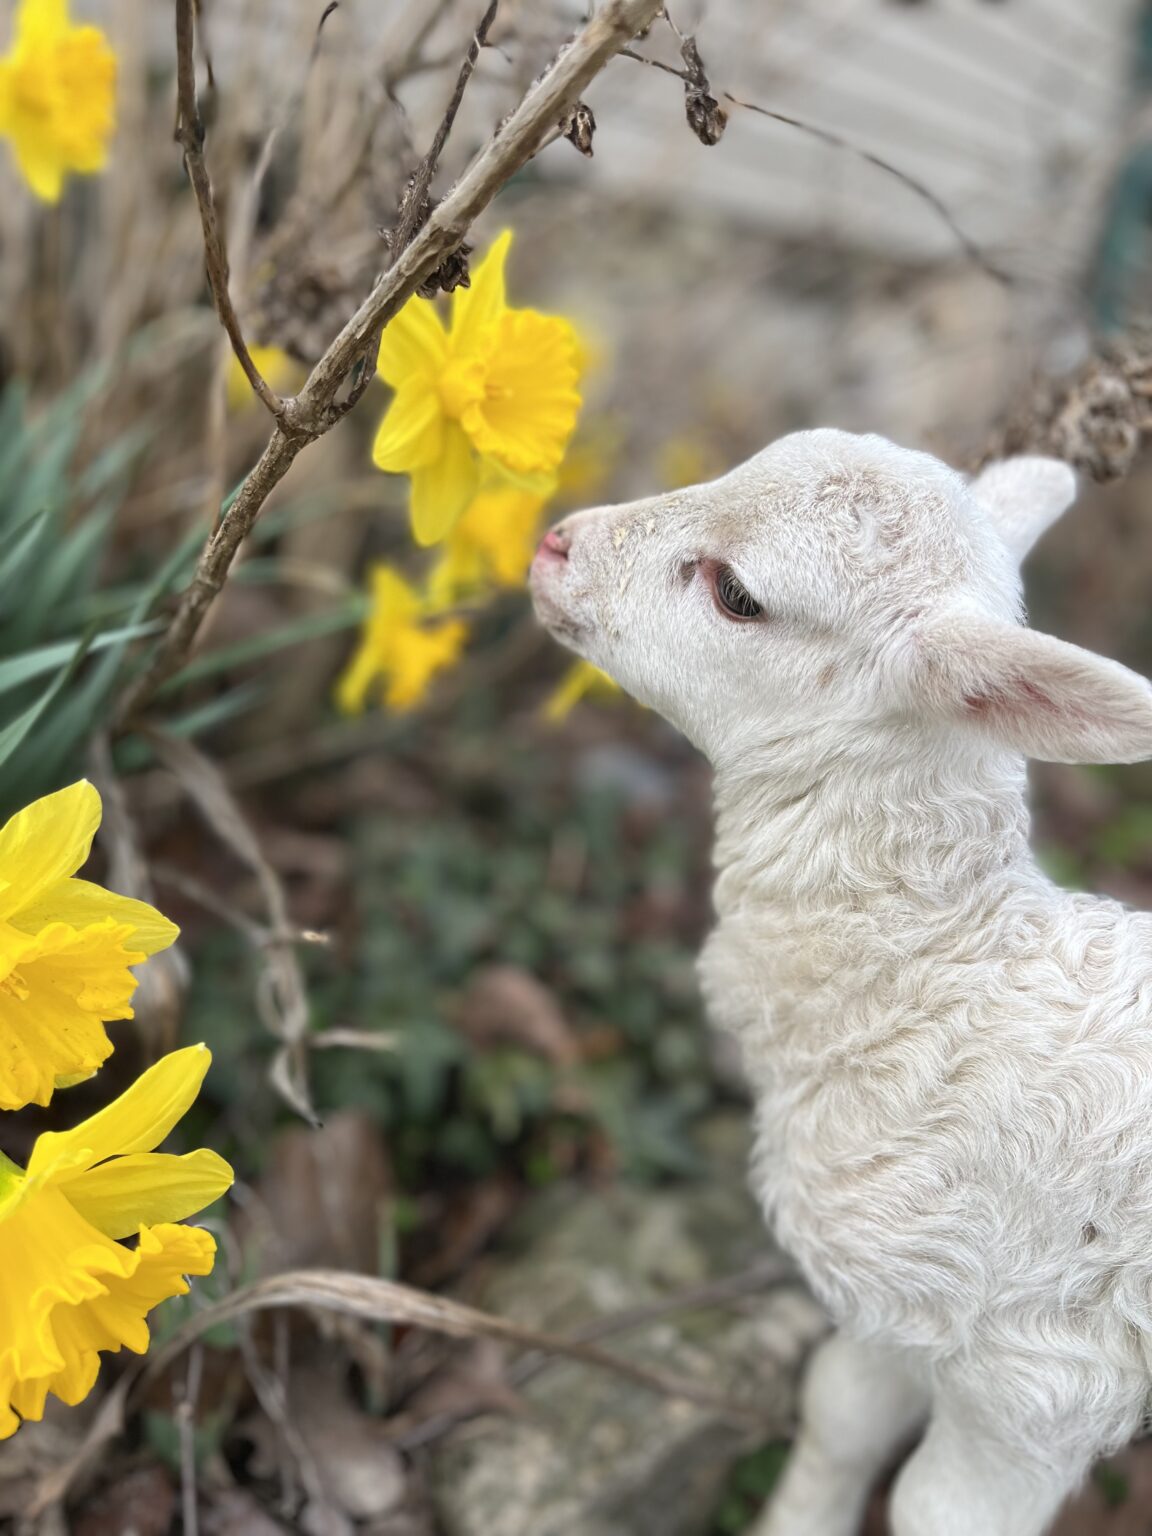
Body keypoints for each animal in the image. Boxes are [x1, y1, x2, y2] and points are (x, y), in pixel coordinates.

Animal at [529, 428, 1152, 1536]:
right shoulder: (910, 1291)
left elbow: (935, 1511)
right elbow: (839, 1411)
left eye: (738, 594)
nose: (555, 544)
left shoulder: (1042, 1378)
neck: (939, 988)